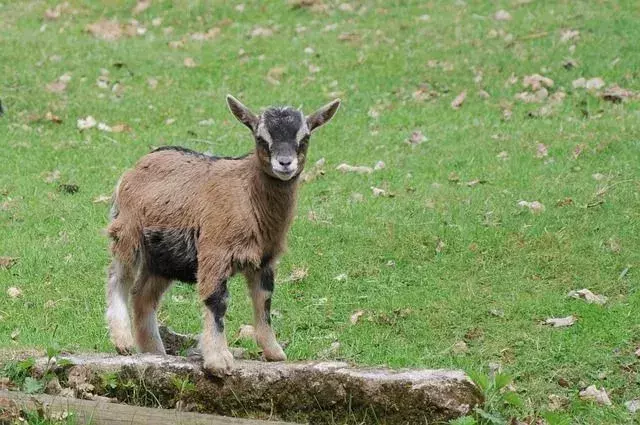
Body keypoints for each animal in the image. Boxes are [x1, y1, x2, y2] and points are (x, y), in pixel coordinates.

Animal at [105, 94, 340, 372]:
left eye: (304, 137)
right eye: (261, 137)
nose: (285, 163)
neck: (248, 194)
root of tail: (136, 166)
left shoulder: (265, 259)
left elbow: (264, 303)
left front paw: (274, 352)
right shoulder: (214, 252)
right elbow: (216, 301)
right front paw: (218, 360)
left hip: (164, 257)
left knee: (142, 296)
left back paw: (156, 351)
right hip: (128, 234)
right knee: (118, 280)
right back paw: (123, 341)